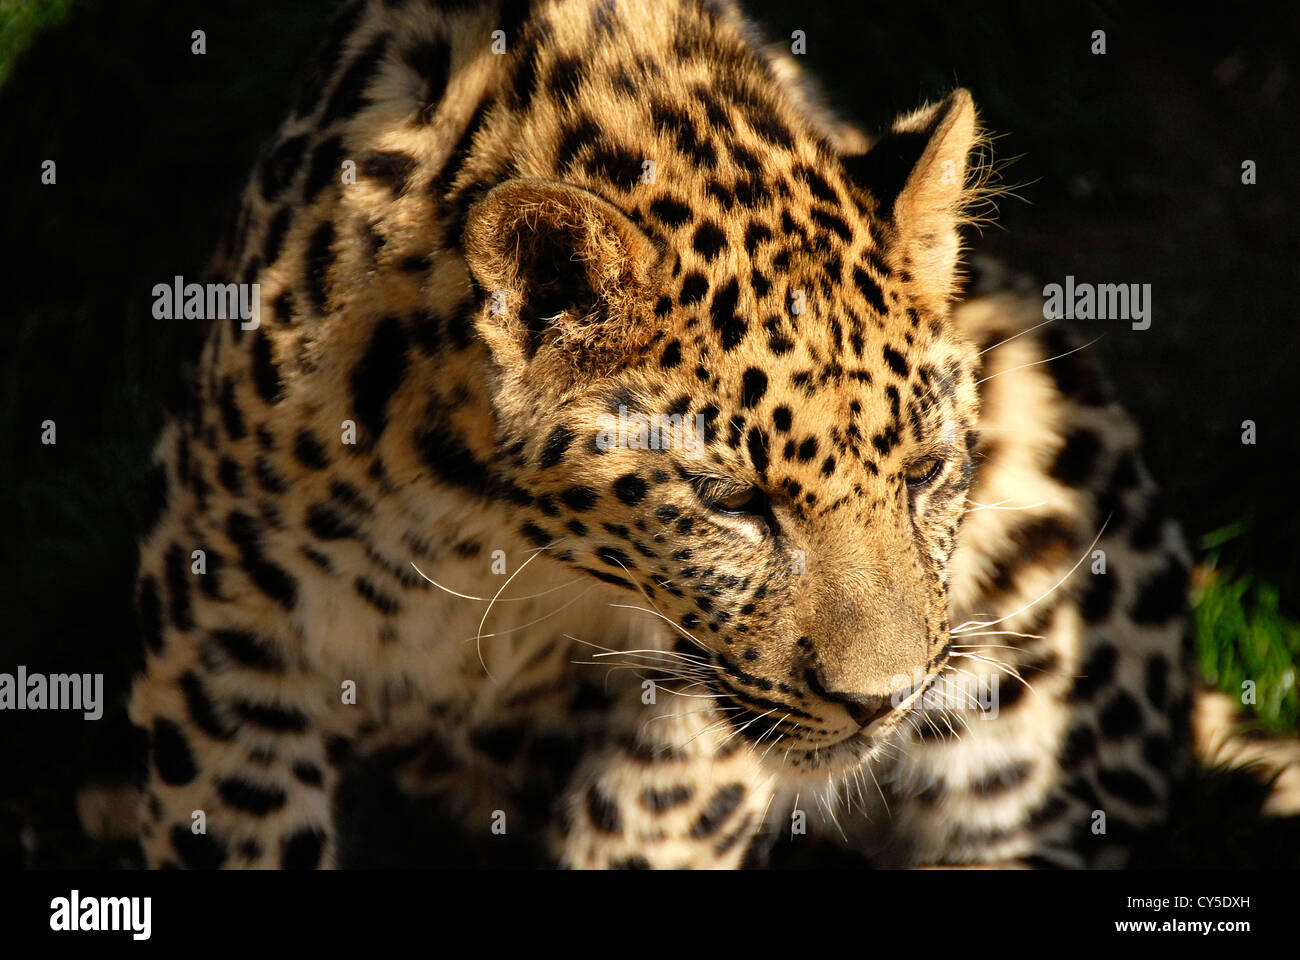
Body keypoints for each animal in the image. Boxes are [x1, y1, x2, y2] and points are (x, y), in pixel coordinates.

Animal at [128, 0, 1197, 869]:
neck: (495, 531)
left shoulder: (700, 698)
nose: (881, 701)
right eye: (733, 504)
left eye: (926, 472)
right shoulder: (225, 616)